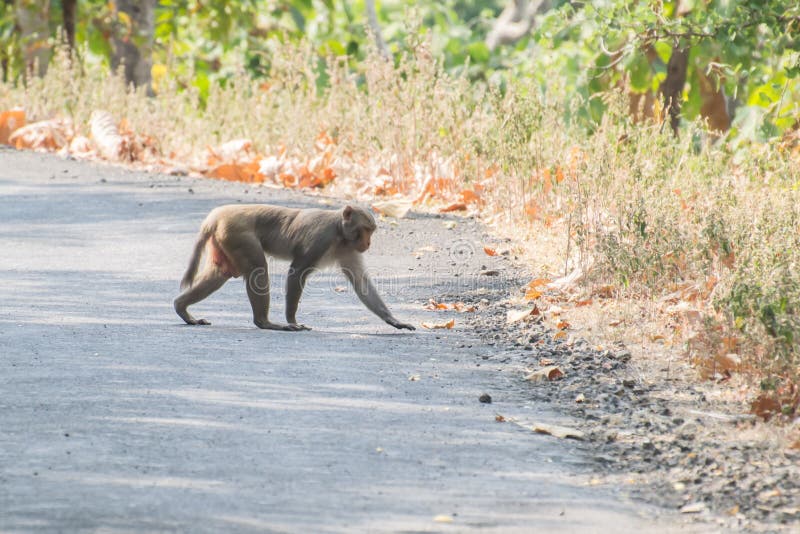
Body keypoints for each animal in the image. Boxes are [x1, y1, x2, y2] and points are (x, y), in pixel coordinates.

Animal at [174, 204, 416, 331]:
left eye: (371, 231)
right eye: (365, 229)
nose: (368, 243)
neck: (339, 233)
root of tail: (216, 215)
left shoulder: (348, 249)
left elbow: (361, 282)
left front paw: (393, 320)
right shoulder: (321, 239)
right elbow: (297, 272)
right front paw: (293, 321)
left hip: (225, 240)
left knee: (220, 273)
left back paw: (182, 308)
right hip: (237, 234)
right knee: (257, 270)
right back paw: (265, 322)